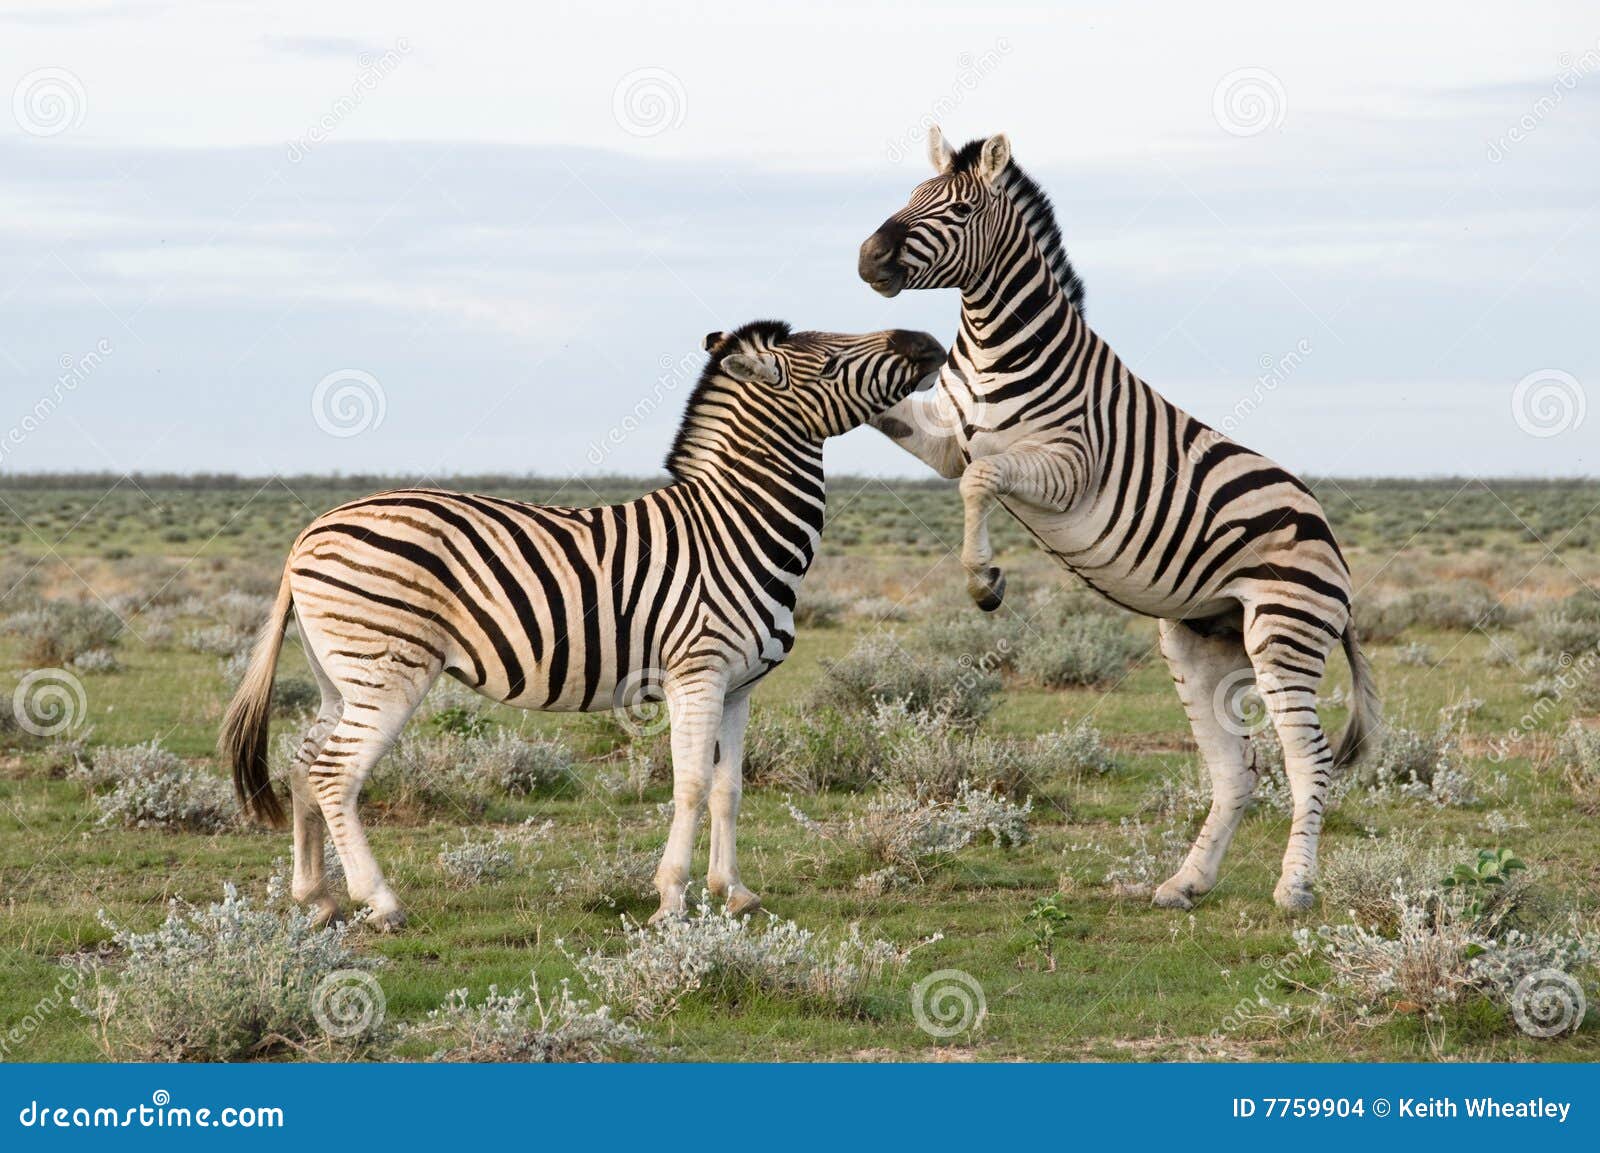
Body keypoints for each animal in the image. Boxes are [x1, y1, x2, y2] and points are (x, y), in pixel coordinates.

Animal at [222, 320, 945, 929]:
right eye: (831, 360)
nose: (930, 341)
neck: (734, 528)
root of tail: (309, 532)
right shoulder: (696, 672)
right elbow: (688, 785)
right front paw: (671, 899)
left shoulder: (740, 686)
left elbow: (728, 789)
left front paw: (734, 892)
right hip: (388, 670)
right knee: (335, 774)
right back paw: (381, 902)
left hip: (341, 677)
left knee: (302, 765)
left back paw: (317, 899)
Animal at [857, 129, 1379, 912]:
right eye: (911, 195)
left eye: (956, 208)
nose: (868, 257)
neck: (993, 345)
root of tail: (1328, 533)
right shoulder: (947, 438)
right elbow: (906, 426)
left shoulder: (1069, 464)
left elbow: (982, 480)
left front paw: (983, 579)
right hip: (1202, 643)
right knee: (1239, 768)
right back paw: (1185, 882)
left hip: (1283, 631)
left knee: (1308, 759)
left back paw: (1293, 888)